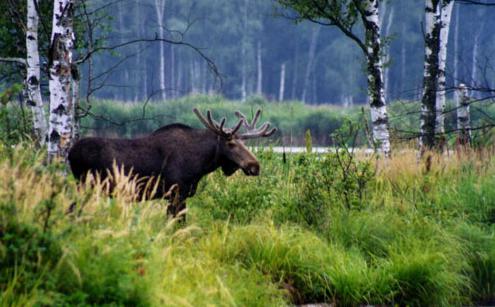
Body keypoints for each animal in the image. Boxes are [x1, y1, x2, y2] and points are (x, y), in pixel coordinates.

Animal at [67, 108, 278, 217]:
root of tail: (70, 153)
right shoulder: (176, 192)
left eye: (245, 143)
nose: (255, 166)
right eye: (231, 143)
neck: (201, 163)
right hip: (85, 185)